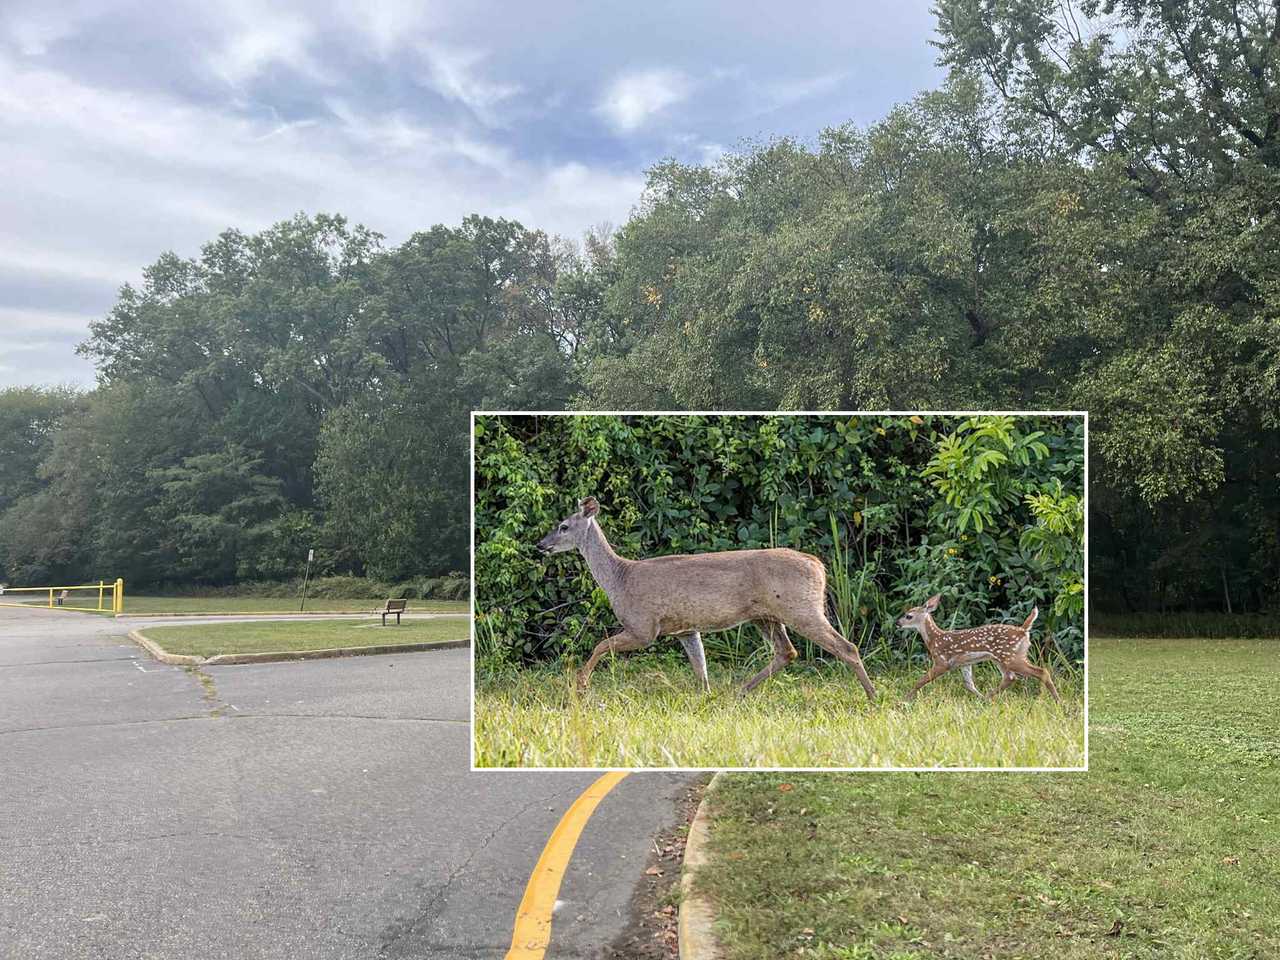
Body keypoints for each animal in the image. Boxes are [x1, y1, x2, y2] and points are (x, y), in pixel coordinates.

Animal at [535, 496, 877, 701]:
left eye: (563, 526)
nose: (541, 545)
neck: (620, 578)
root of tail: (818, 565)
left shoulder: (644, 627)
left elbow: (600, 645)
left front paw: (579, 686)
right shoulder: (686, 628)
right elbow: (700, 668)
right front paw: (706, 698)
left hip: (800, 608)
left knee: (846, 647)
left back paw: (873, 696)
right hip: (766, 615)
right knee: (787, 652)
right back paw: (739, 692)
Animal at [895, 594, 1061, 703]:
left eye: (909, 616)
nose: (898, 623)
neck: (934, 639)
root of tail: (1023, 630)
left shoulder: (942, 662)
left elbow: (921, 681)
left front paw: (905, 699)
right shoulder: (964, 663)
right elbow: (969, 685)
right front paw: (979, 698)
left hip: (1011, 656)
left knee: (1041, 671)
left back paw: (1058, 701)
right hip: (1003, 658)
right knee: (1010, 677)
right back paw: (986, 699)